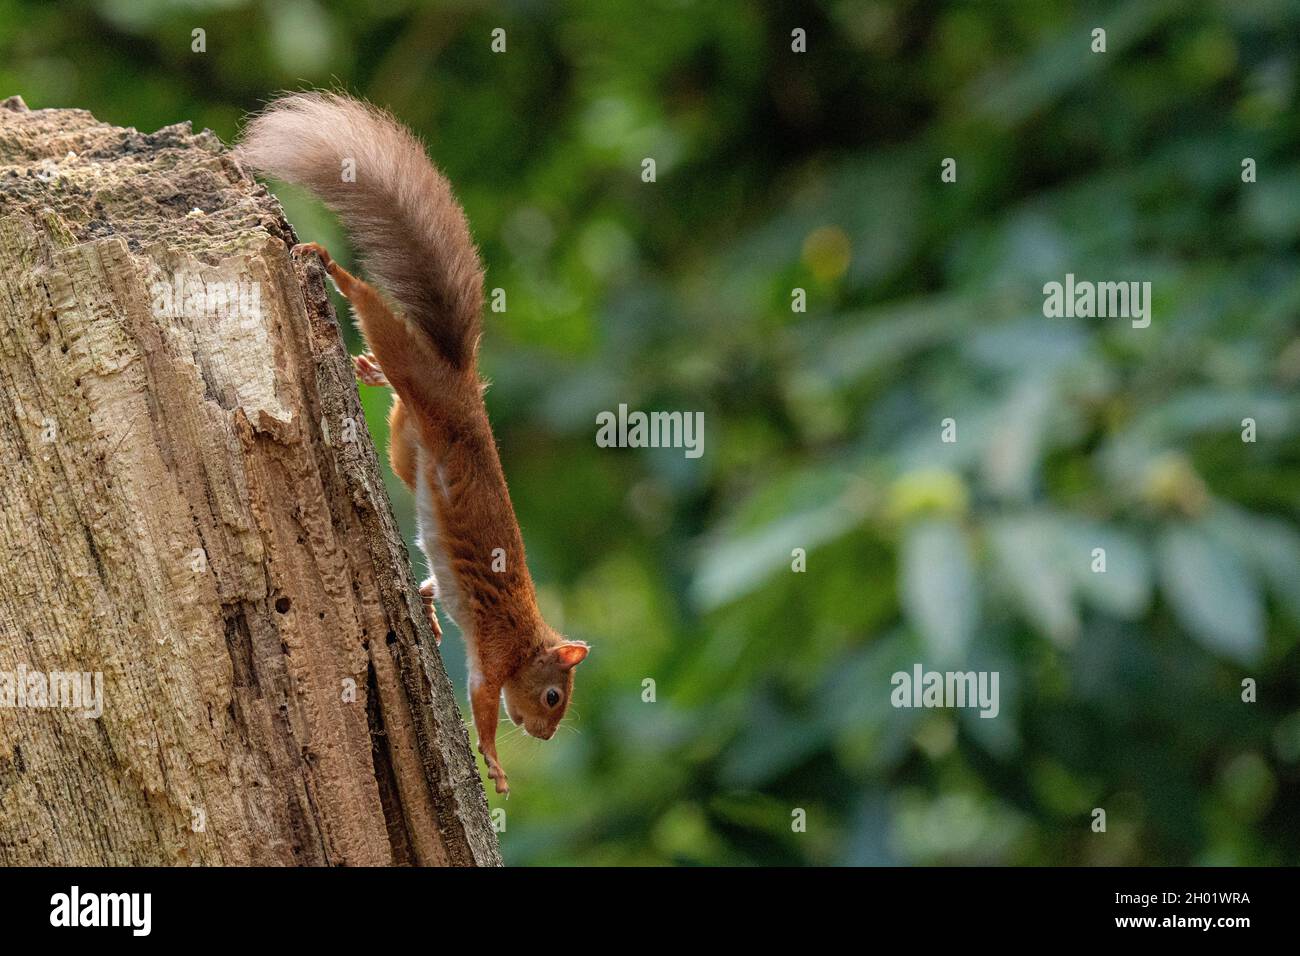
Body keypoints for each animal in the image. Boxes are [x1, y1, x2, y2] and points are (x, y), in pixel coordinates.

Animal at [237, 92, 588, 796]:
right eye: (553, 697)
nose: (543, 735)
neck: (527, 636)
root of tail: (461, 387)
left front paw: (426, 604)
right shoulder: (492, 655)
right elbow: (482, 707)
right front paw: (496, 765)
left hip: (411, 441)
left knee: (399, 413)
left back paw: (369, 369)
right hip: (416, 374)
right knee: (379, 315)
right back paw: (328, 267)